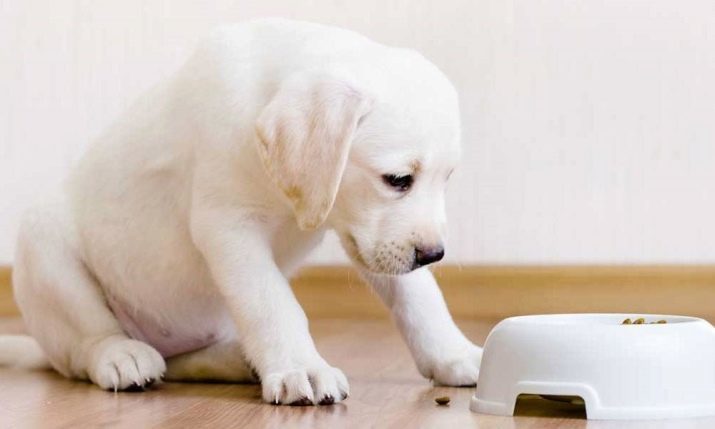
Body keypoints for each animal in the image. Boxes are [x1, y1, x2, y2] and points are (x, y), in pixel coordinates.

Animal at [1, 17, 482, 404]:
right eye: (397, 179)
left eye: (447, 179)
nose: (433, 255)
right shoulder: (230, 228)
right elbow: (271, 302)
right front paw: (301, 367)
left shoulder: (367, 237)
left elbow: (419, 297)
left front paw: (454, 355)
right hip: (44, 246)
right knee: (88, 344)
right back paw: (122, 354)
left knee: (178, 362)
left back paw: (238, 360)